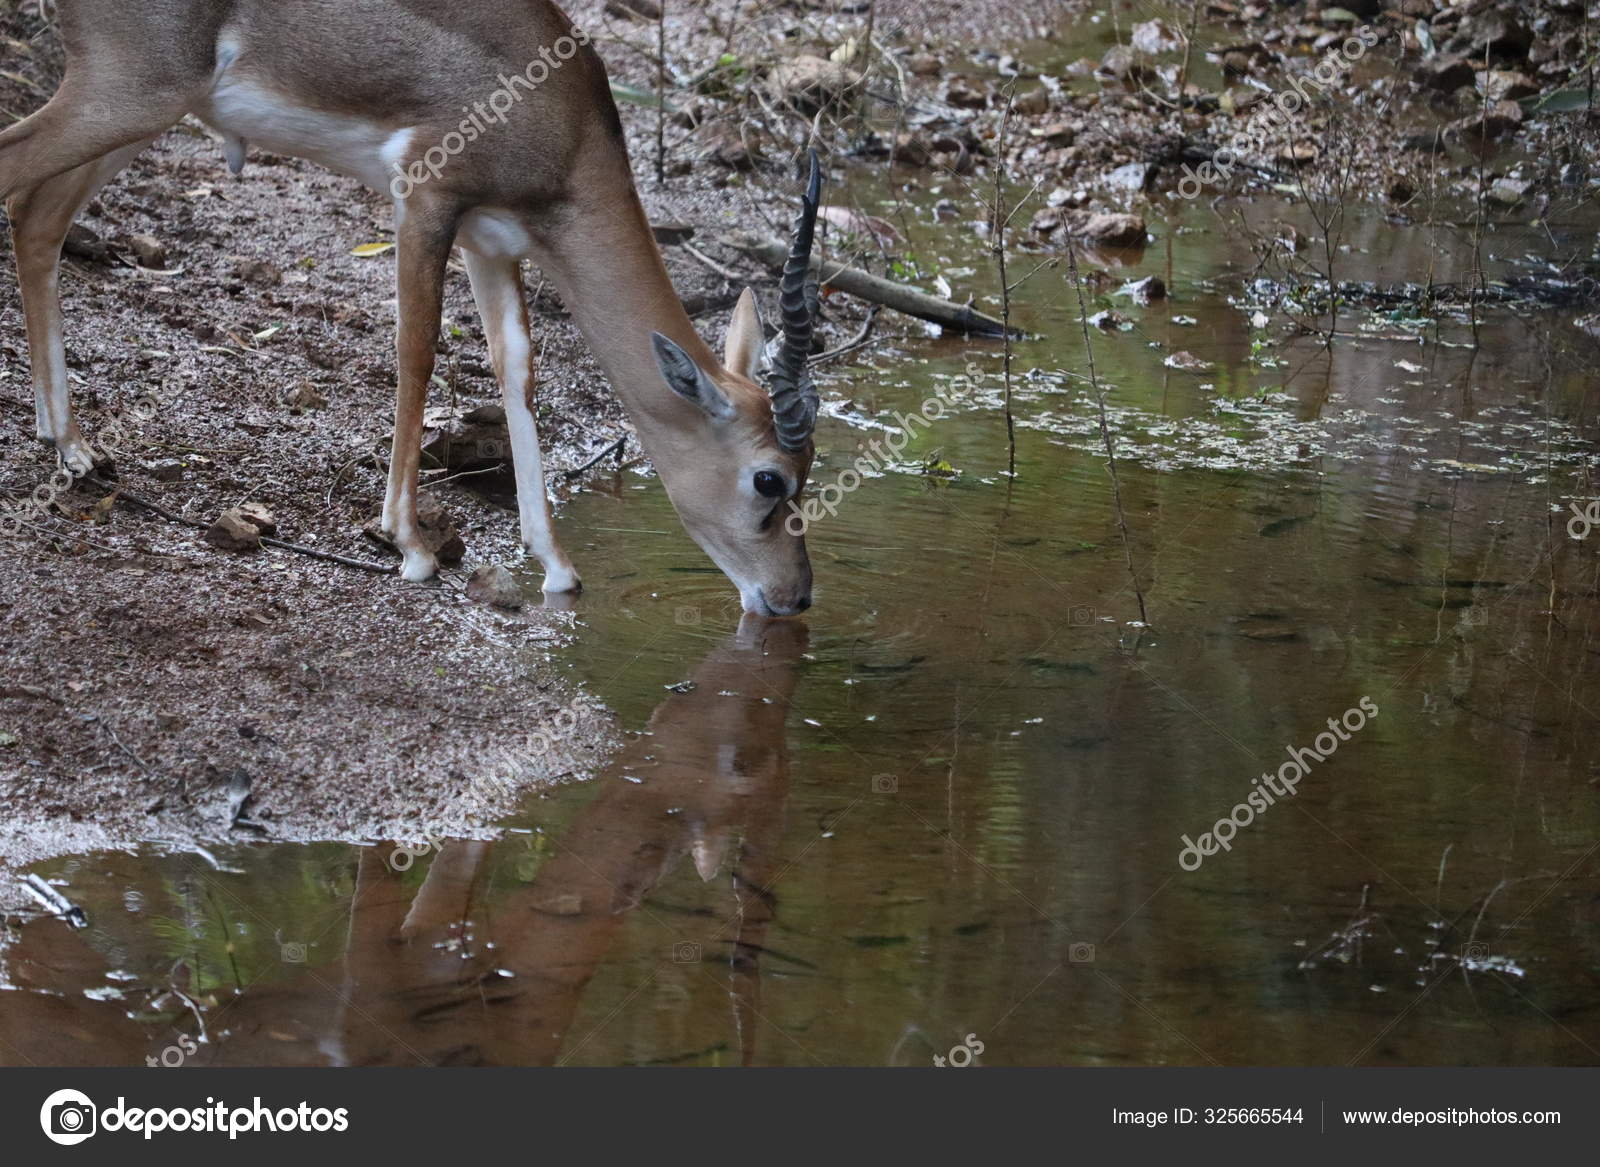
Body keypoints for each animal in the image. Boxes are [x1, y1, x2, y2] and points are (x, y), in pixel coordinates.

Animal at [1, 0, 821, 616]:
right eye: (769, 479)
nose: (796, 596)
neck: (562, 122)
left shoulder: (494, 242)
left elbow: (517, 369)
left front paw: (555, 564)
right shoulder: (426, 195)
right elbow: (418, 347)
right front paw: (411, 543)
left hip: (147, 111)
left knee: (39, 215)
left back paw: (68, 442)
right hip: (129, 93)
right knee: (20, 183)